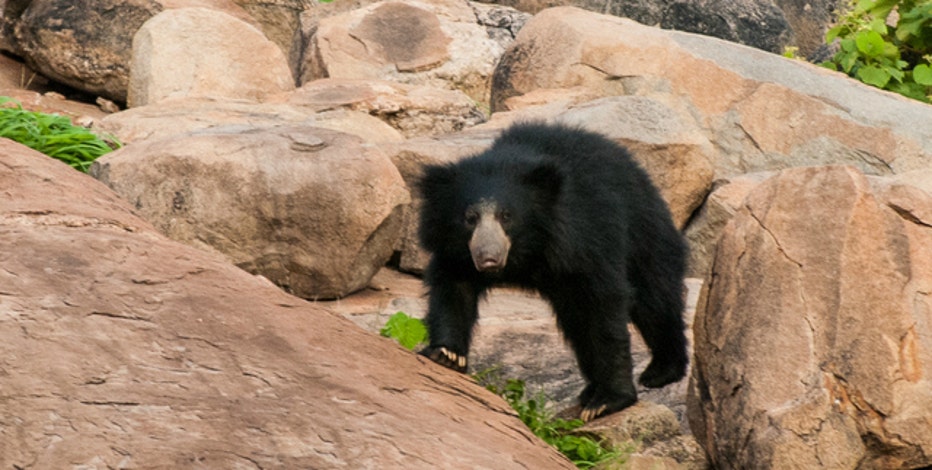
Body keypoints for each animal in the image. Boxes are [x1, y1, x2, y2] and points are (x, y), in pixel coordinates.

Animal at [416, 121, 689, 422]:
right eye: (470, 218)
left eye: (507, 216)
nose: (488, 258)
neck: (527, 250)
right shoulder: (455, 251)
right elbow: (453, 292)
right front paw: (447, 355)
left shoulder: (583, 238)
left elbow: (602, 308)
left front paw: (607, 401)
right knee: (578, 325)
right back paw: (590, 389)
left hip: (644, 231)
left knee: (655, 299)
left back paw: (661, 371)